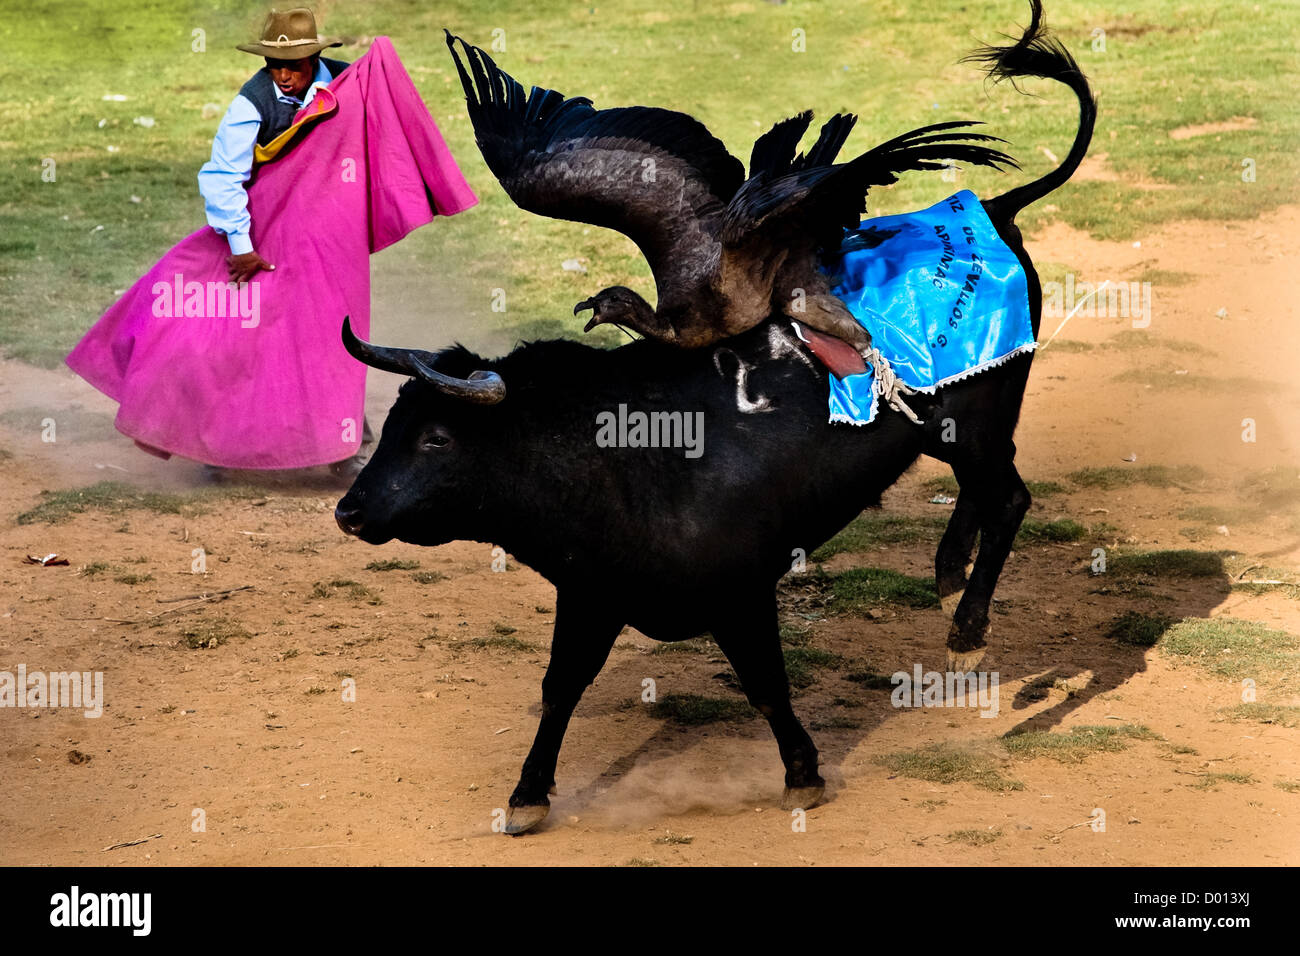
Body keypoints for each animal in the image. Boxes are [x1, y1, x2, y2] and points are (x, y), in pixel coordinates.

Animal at [334, 0, 1094, 834]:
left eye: (437, 438)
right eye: (392, 429)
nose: (349, 510)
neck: (613, 459)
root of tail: (994, 209)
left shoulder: (741, 594)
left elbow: (765, 685)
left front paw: (803, 775)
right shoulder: (590, 595)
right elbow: (560, 688)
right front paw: (528, 796)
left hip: (977, 427)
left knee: (1009, 497)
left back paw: (965, 629)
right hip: (972, 434)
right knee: (983, 493)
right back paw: (948, 572)